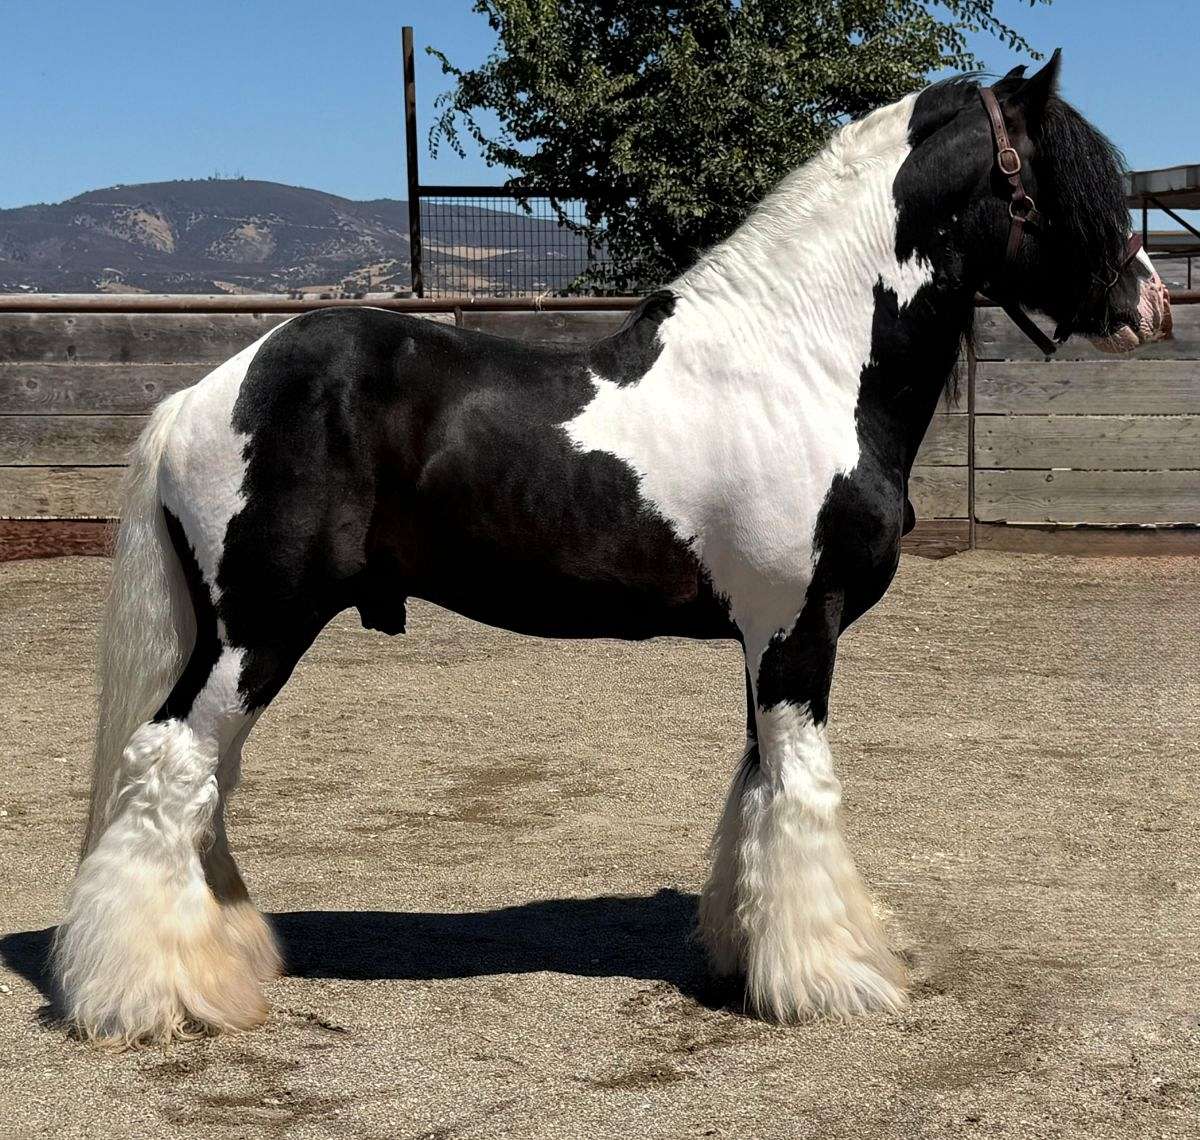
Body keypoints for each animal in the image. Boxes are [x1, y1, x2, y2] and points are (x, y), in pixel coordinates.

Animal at [52, 52, 1171, 1044]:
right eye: (1066, 180)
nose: (1150, 305)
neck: (801, 364)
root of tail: (206, 395)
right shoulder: (799, 634)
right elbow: (802, 794)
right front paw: (830, 976)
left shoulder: (762, 642)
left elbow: (756, 790)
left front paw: (744, 954)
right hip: (259, 630)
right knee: (170, 765)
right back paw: (142, 997)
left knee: (206, 780)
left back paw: (221, 961)